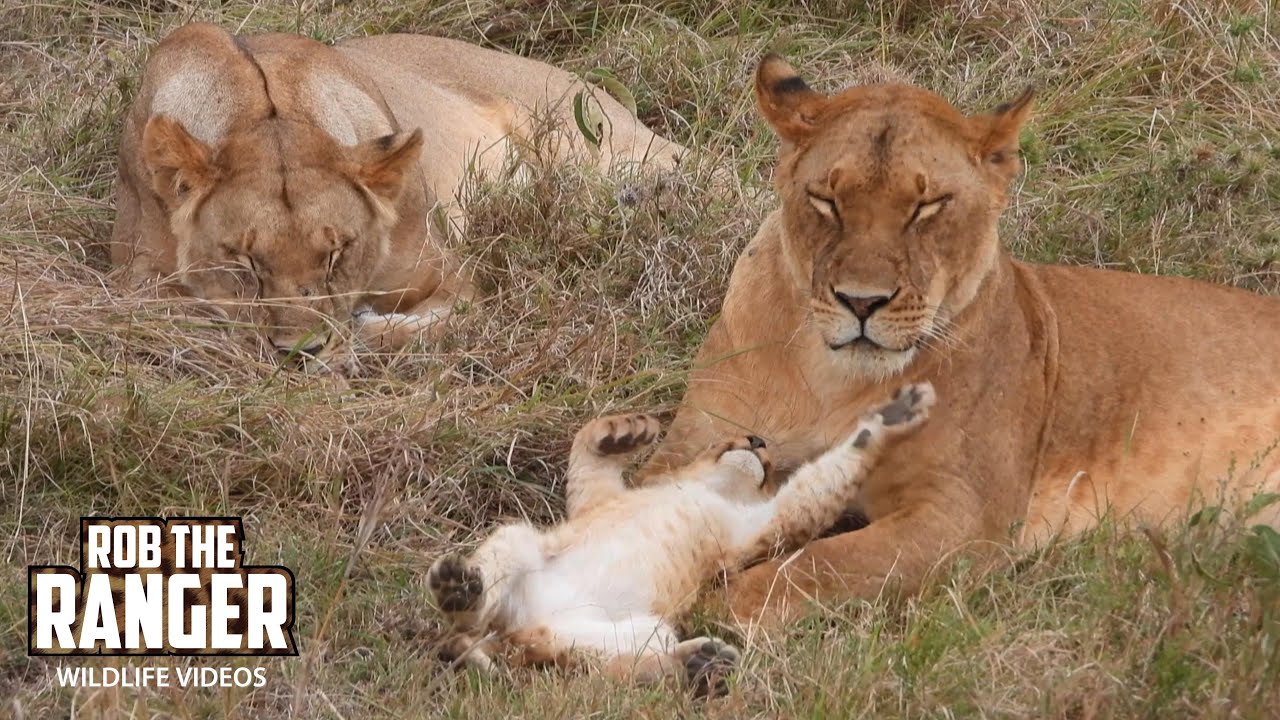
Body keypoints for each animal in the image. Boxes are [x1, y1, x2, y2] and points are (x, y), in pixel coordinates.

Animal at [111, 23, 683, 365]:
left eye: (337, 252)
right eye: (246, 261)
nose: (300, 353)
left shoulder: (452, 272)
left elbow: (436, 324)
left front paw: (360, 332)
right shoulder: (134, 285)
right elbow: (192, 315)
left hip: (595, 141)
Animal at [429, 383, 933, 697]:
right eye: (733, 435)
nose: (757, 440)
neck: (710, 488)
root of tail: (513, 631)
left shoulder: (760, 529)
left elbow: (819, 487)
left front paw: (894, 415)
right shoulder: (599, 503)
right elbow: (585, 464)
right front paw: (620, 432)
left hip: (642, 629)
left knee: (575, 662)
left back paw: (698, 666)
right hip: (519, 543)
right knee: (500, 631)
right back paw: (459, 591)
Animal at [641, 55, 1280, 628]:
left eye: (927, 207)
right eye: (827, 200)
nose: (861, 302)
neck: (835, 380)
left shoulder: (966, 516)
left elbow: (824, 564)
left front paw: (716, 610)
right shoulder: (695, 442)